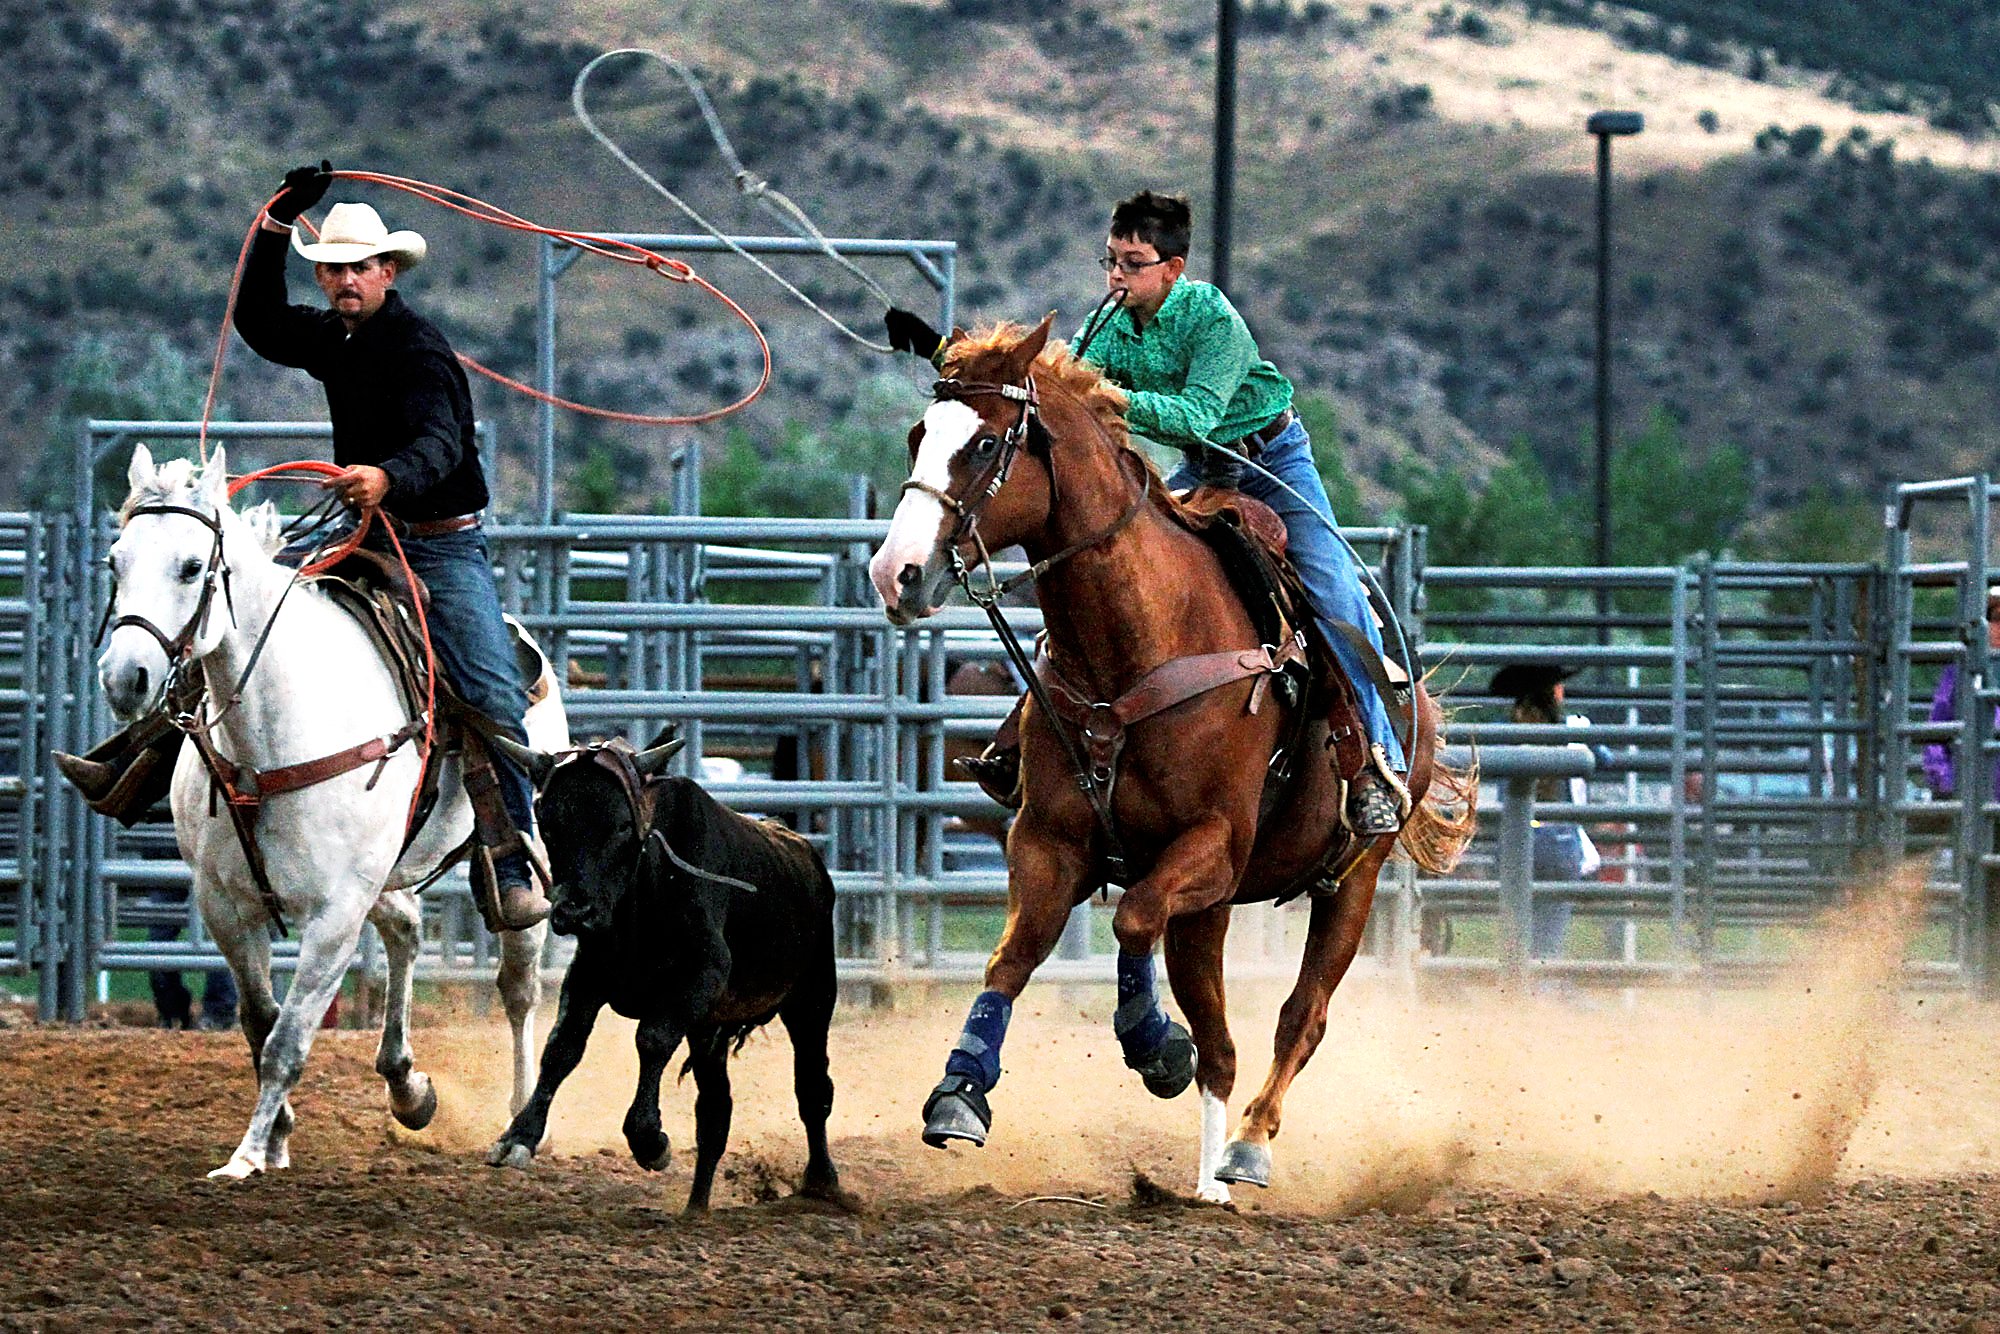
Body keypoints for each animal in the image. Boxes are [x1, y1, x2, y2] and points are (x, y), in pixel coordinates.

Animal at [483, 730, 842, 1213]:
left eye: (620, 825)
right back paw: (697, 1206)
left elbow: (651, 1039)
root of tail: (806, 855)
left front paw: (649, 1139)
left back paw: (822, 1180)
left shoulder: (700, 976)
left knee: (812, 1088)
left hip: (812, 998)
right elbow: (562, 1047)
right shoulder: (589, 975)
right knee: (715, 1111)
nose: (574, 911)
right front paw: (519, 1136)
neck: (644, 890)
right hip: (711, 1027)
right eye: (550, 825)